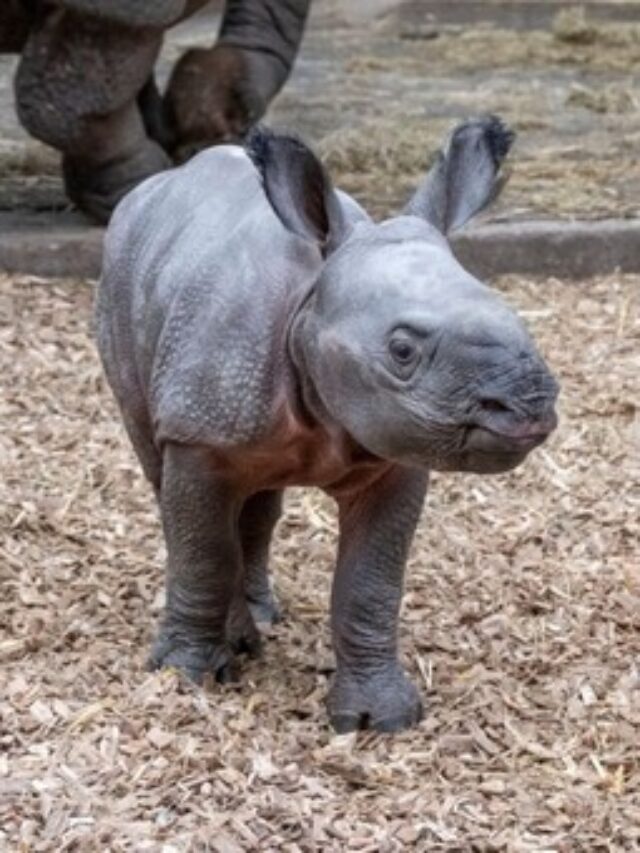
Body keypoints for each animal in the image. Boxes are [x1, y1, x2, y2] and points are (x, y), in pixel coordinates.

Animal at [96, 117, 558, 732]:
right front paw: (185, 675)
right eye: (402, 350)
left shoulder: (396, 453)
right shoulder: (200, 429)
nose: (527, 405)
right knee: (166, 479)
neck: (310, 306)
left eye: (514, 316)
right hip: (122, 290)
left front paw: (379, 718)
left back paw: (262, 619)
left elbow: (371, 583)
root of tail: (153, 189)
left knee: (257, 507)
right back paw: (237, 641)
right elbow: (204, 550)